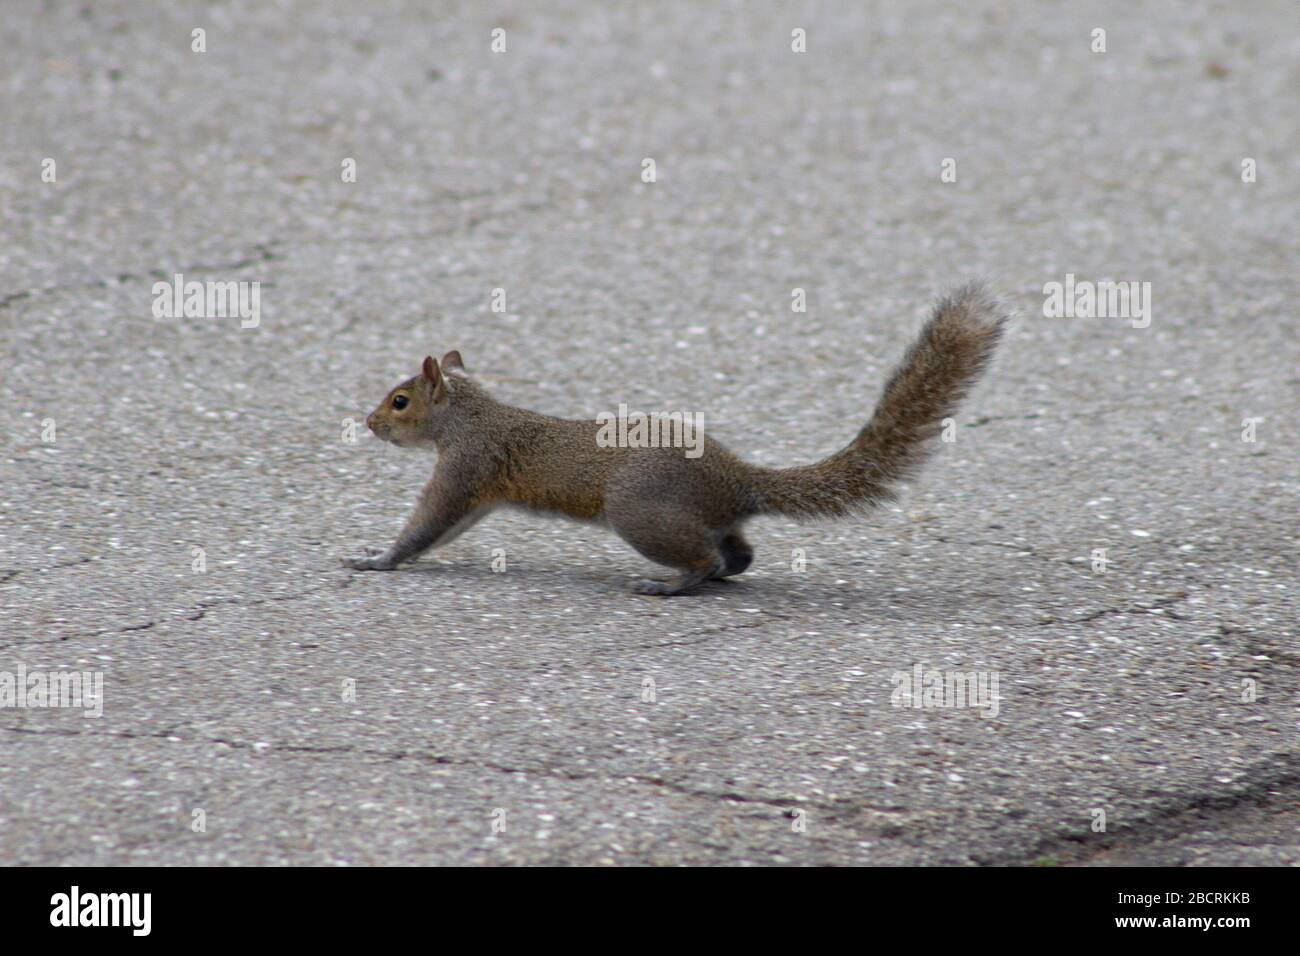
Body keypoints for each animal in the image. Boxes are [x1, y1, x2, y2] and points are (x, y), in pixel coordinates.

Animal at [344, 282, 1007, 595]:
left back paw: (669, 583)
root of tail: (739, 479)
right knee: (738, 554)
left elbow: (428, 522)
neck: (470, 415)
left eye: (400, 401)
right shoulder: (480, 487)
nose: (369, 423)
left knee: (707, 556)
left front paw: (377, 560)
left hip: (639, 510)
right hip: (696, 516)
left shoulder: (467, 467)